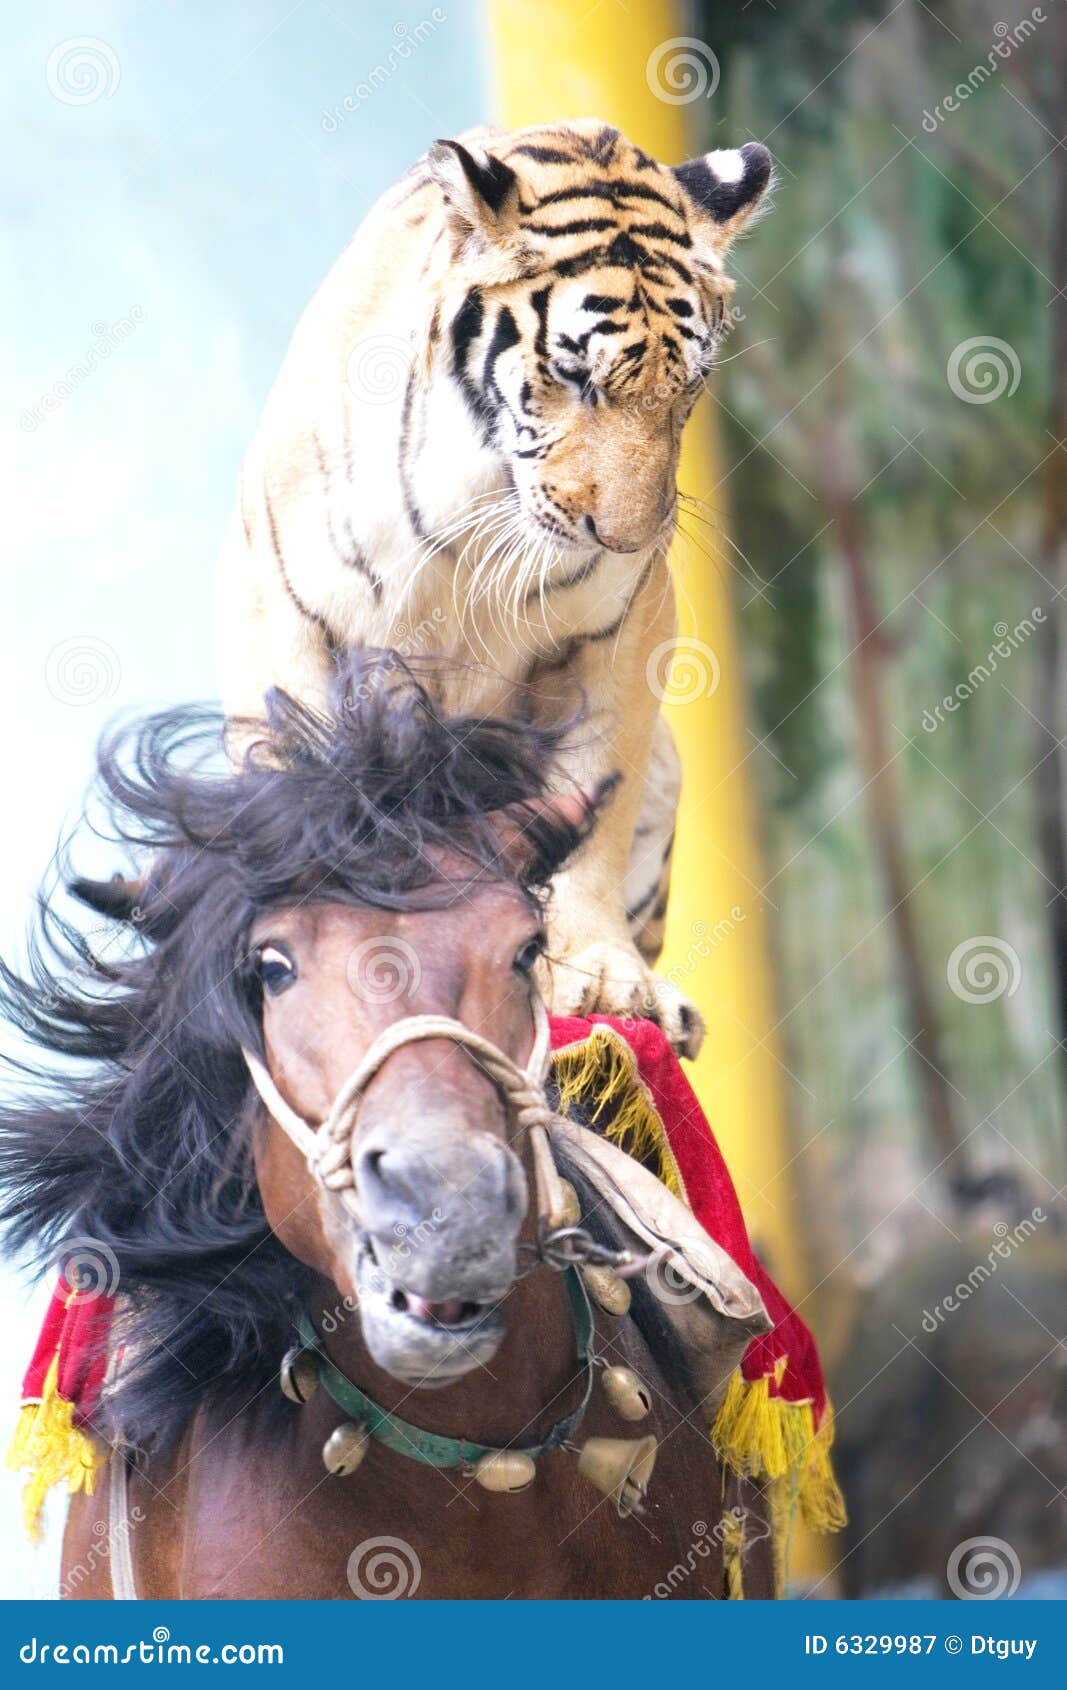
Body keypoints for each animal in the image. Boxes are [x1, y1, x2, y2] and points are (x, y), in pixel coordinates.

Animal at [214, 119, 772, 1057]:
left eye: (689, 382)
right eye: (576, 376)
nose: (627, 536)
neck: (479, 494)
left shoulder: (622, 629)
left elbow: (593, 804)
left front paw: (603, 976)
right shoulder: (280, 617)